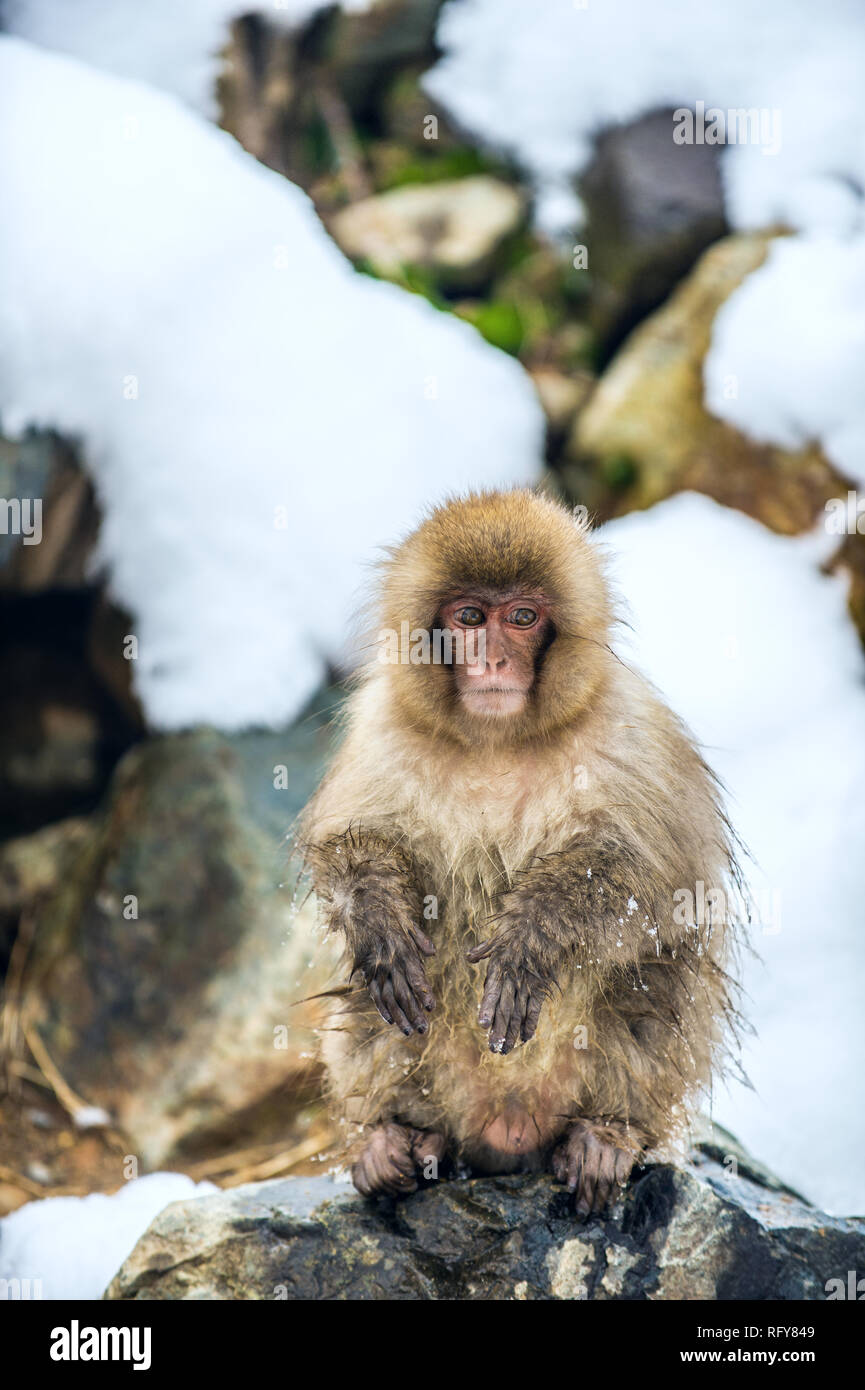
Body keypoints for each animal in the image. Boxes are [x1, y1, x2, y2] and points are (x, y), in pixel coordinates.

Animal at [300, 489, 744, 1217]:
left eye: (523, 618)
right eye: (470, 617)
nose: (493, 662)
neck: (497, 740)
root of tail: (505, 1130)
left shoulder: (631, 728)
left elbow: (655, 881)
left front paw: (532, 937)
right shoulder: (381, 727)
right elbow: (353, 845)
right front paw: (376, 914)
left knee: (652, 979)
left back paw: (606, 1135)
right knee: (372, 1000)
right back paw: (395, 1137)